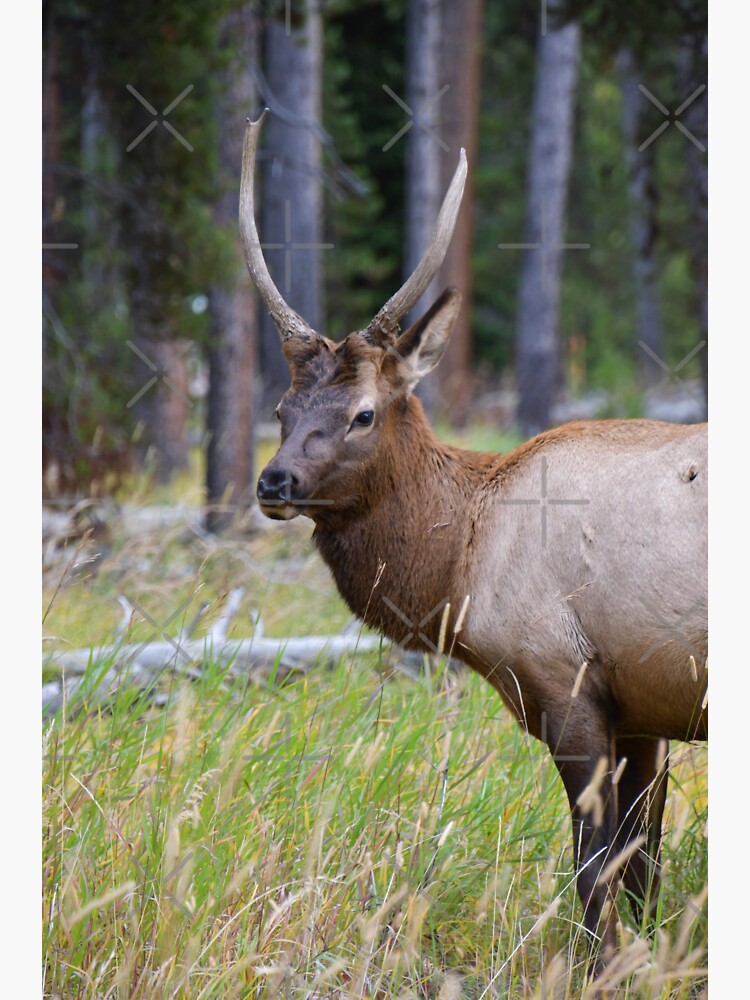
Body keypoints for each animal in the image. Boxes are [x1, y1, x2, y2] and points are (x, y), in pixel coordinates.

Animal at [240, 111, 707, 975]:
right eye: (283, 408)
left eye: (362, 412)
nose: (274, 482)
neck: (460, 562)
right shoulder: (644, 705)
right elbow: (644, 869)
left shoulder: (566, 682)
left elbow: (595, 868)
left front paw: (597, 974)